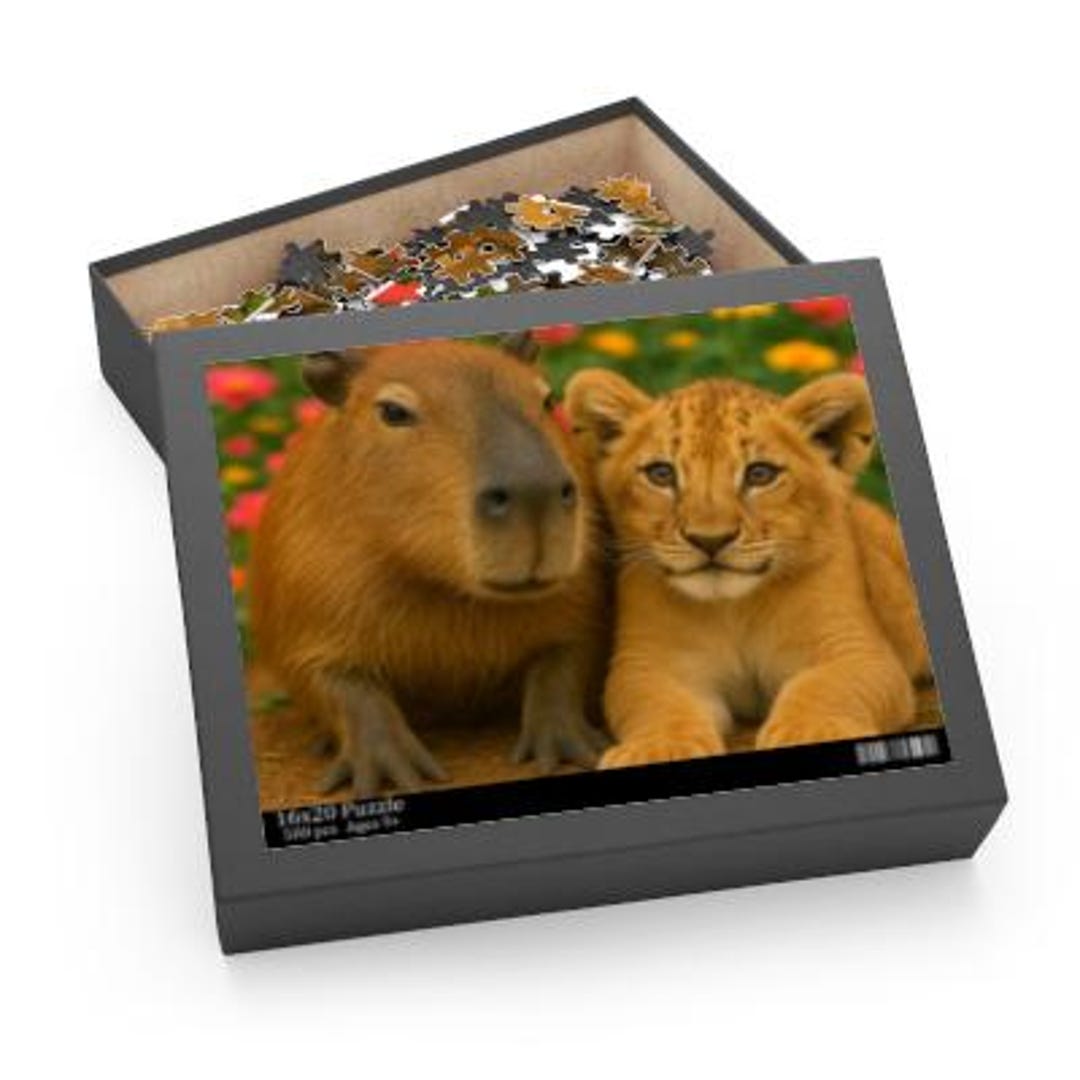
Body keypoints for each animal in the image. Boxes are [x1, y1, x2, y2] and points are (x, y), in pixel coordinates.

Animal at [565, 368, 931, 768]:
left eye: (760, 474)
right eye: (661, 474)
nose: (710, 540)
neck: (734, 608)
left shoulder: (855, 649)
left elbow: (825, 687)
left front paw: (808, 730)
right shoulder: (650, 665)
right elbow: (661, 706)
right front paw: (660, 748)